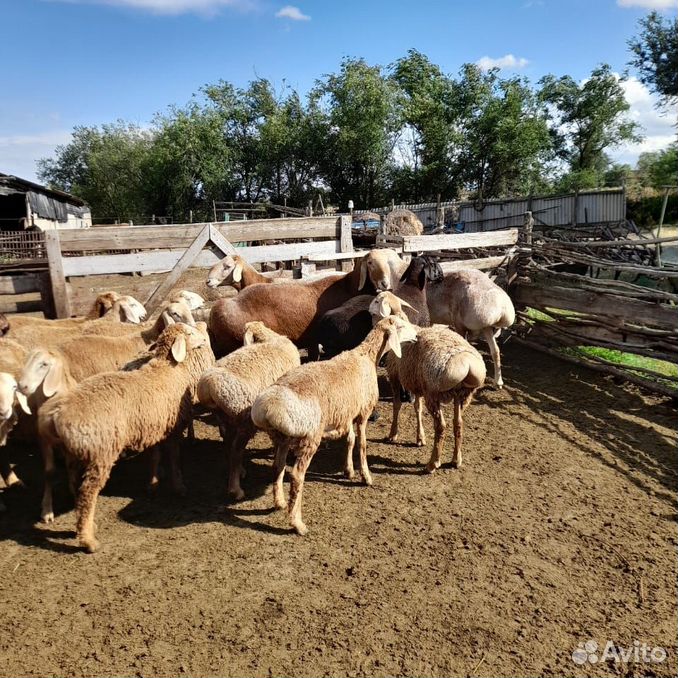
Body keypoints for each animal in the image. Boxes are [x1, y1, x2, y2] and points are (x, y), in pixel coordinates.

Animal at [198, 322, 302, 502]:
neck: (271, 338)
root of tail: (208, 386)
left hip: (227, 419)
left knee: (228, 444)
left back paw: (239, 472)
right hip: (244, 420)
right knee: (236, 451)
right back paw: (236, 490)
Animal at [251, 316, 420, 540]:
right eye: (400, 325)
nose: (417, 335)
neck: (367, 357)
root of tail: (267, 408)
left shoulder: (346, 414)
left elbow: (350, 439)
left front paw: (348, 470)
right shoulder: (363, 413)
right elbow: (362, 445)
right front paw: (366, 476)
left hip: (282, 438)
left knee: (277, 466)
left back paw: (279, 502)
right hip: (310, 437)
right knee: (296, 476)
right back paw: (297, 523)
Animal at [382, 322, 488, 472]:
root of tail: (466, 364)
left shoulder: (395, 376)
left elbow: (397, 405)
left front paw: (393, 434)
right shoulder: (418, 385)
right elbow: (417, 408)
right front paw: (420, 437)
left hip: (433, 394)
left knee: (441, 426)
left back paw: (433, 463)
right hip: (461, 395)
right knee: (458, 423)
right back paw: (456, 460)